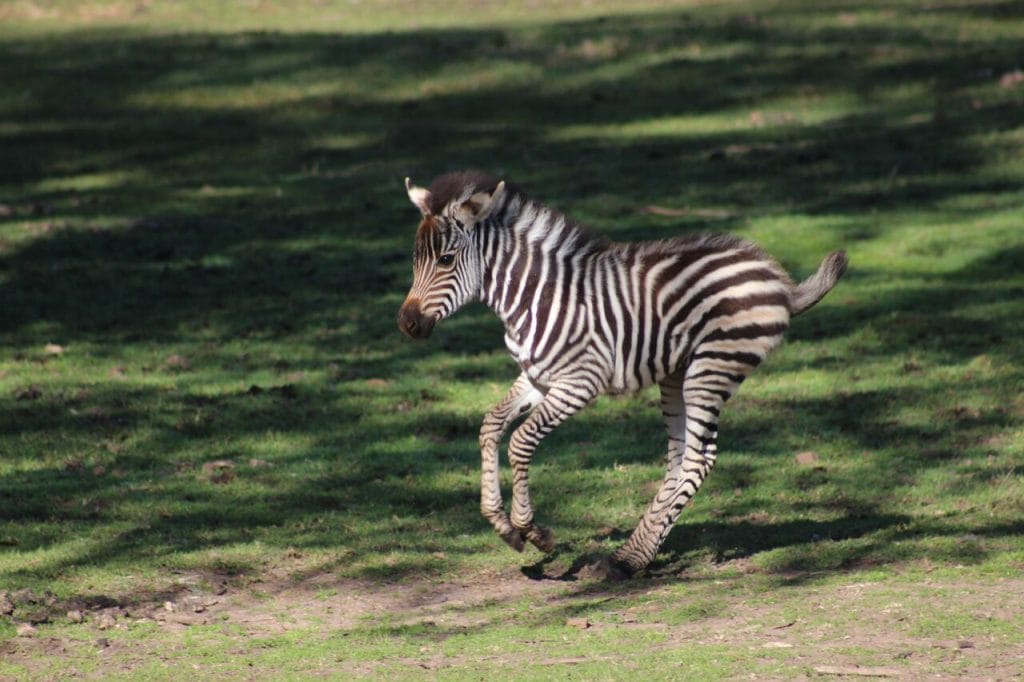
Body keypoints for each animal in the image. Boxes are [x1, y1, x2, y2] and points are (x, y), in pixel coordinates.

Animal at [397, 170, 848, 578]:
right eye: (415, 260)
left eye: (446, 260)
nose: (407, 324)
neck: (532, 297)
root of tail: (777, 279)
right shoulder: (537, 376)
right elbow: (491, 425)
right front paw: (502, 525)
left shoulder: (580, 381)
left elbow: (521, 442)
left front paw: (531, 531)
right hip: (676, 375)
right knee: (679, 454)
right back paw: (628, 556)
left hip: (711, 369)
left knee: (699, 458)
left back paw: (632, 558)